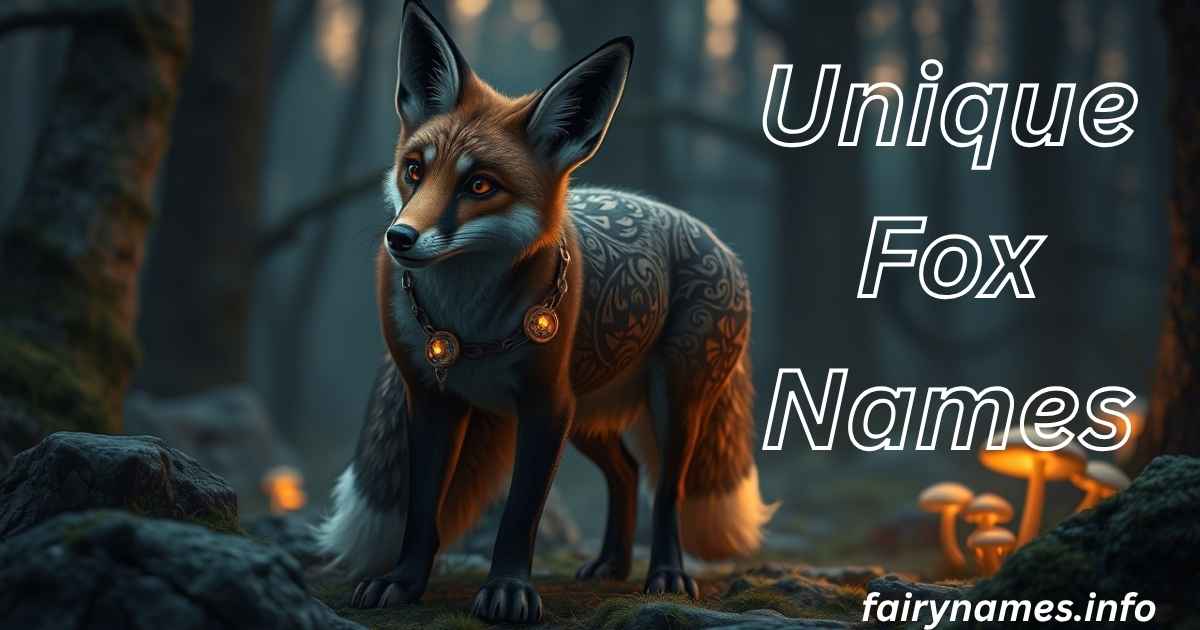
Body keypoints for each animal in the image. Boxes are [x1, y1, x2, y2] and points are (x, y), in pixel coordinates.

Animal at [316, 0, 777, 624]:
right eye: (415, 169)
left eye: (480, 185)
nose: (399, 238)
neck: (469, 325)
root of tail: (712, 238)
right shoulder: (433, 399)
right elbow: (421, 508)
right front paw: (404, 582)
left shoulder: (543, 405)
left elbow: (519, 515)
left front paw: (508, 591)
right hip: (586, 414)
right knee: (627, 473)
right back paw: (610, 565)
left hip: (671, 403)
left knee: (666, 491)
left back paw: (666, 575)